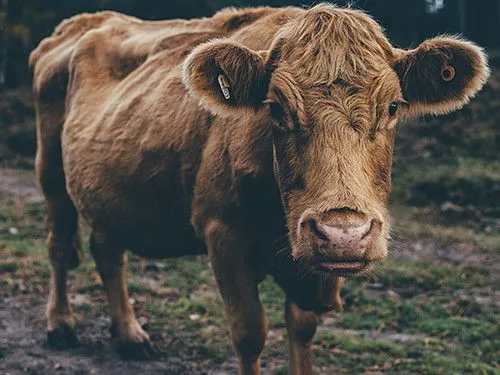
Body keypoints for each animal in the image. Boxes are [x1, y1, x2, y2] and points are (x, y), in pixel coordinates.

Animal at [28, 3, 488, 375]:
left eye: (393, 107)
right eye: (276, 107)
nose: (344, 234)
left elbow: (301, 328)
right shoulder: (222, 234)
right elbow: (250, 332)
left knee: (108, 253)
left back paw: (129, 335)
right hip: (50, 173)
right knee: (57, 244)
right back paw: (61, 325)